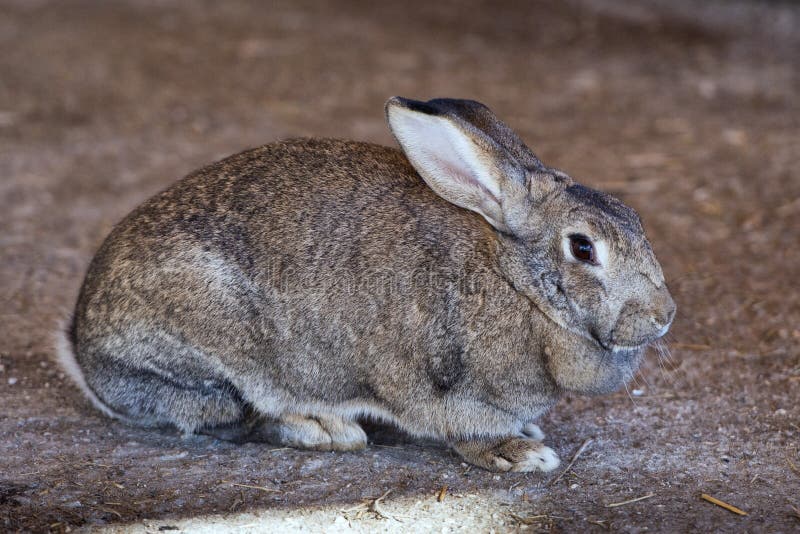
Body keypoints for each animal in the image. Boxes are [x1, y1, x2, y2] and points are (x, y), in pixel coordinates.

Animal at [56, 97, 675, 473]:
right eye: (583, 248)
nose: (663, 314)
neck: (520, 286)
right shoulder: (451, 388)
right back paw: (324, 430)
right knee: (236, 418)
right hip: (211, 351)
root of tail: (82, 348)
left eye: (634, 219)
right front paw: (522, 455)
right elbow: (468, 431)